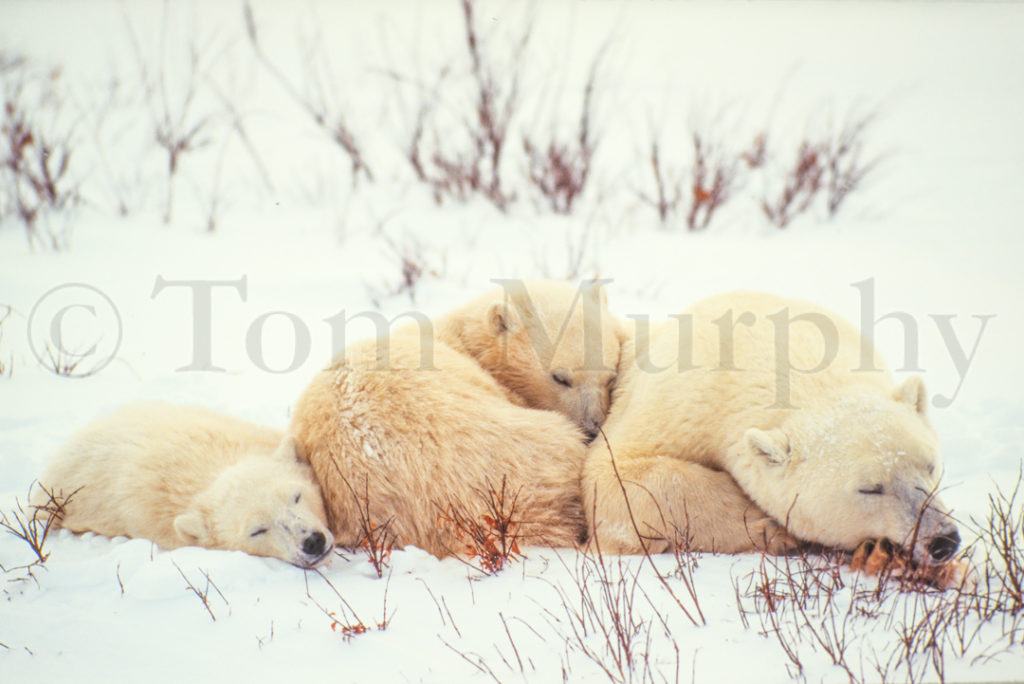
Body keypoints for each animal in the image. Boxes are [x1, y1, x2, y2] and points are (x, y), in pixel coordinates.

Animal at [583, 290, 959, 565]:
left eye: (930, 466)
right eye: (870, 488)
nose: (943, 539)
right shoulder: (674, 401)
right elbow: (615, 478)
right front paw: (771, 528)